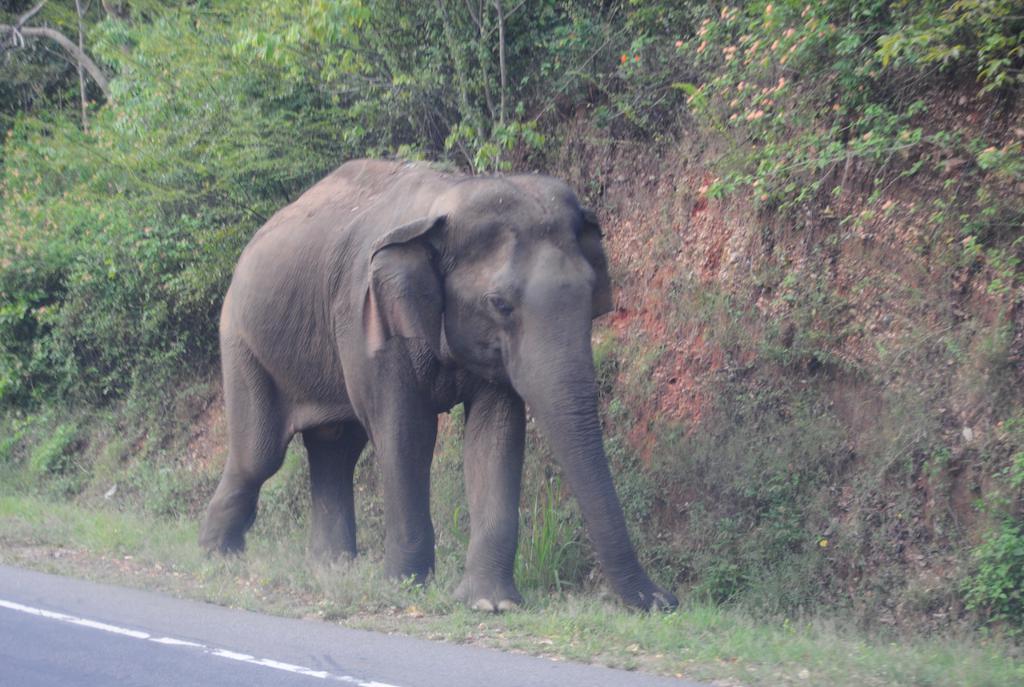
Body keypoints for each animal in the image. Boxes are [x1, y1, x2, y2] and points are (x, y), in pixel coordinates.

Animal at [199, 159, 677, 611]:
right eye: (500, 304)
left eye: (591, 294)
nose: (663, 600)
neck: (449, 198)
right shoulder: (367, 319)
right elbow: (406, 432)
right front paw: (404, 586)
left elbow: (495, 435)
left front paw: (489, 602)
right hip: (241, 337)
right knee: (260, 455)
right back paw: (218, 556)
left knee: (336, 448)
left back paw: (330, 567)